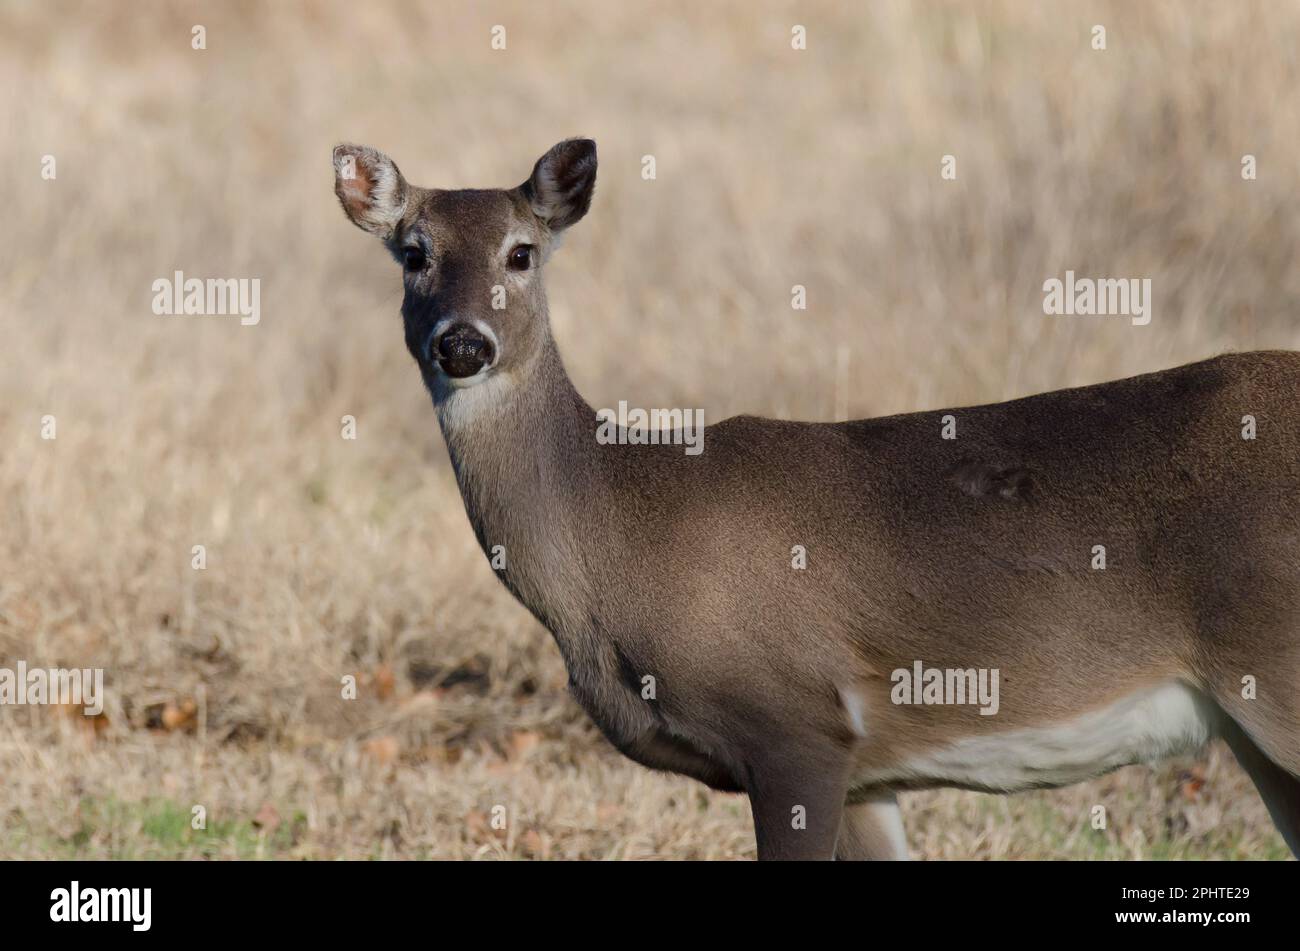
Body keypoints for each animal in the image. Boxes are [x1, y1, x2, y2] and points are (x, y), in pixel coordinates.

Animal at [332, 137, 1300, 860]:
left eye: (521, 253)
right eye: (413, 254)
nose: (463, 343)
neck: (621, 533)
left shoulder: (794, 722)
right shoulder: (871, 772)